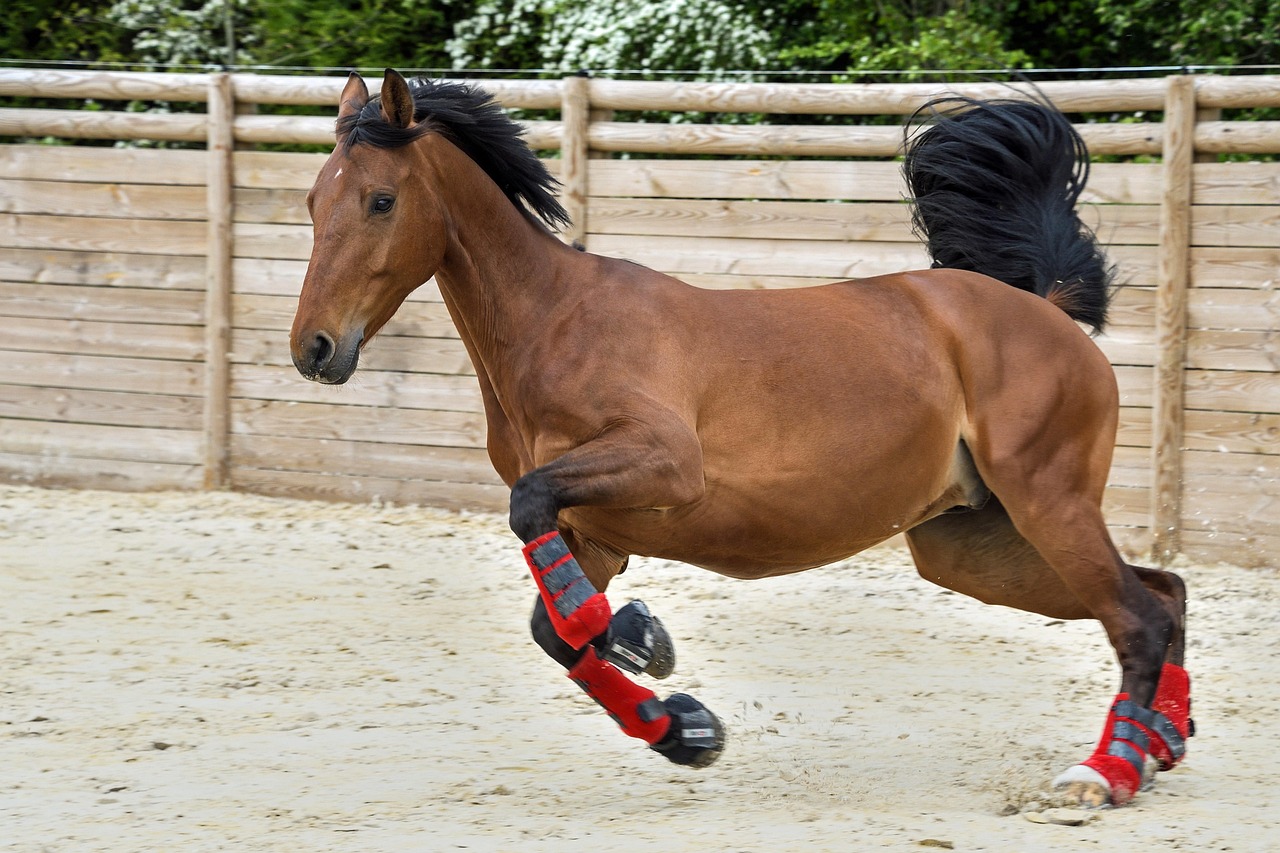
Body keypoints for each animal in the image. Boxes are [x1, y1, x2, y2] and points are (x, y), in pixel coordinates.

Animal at [290, 69, 1193, 808]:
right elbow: (555, 627)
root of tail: (1045, 309)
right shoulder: (594, 534)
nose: (316, 348)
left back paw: (1103, 772)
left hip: (1045, 502)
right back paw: (1158, 743)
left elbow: (532, 518)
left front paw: (638, 637)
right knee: (1164, 592)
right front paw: (680, 723)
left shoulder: (663, 466)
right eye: (311, 203)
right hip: (972, 545)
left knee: (1136, 616)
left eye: (380, 200)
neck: (553, 324)